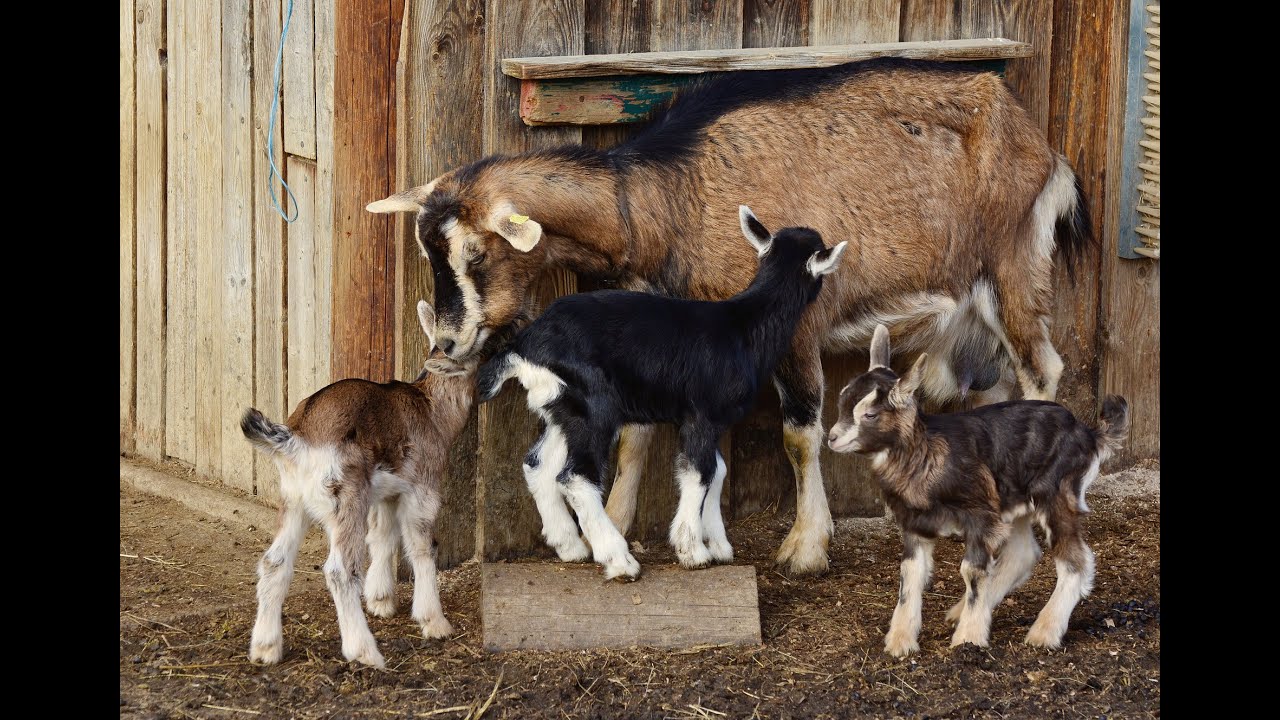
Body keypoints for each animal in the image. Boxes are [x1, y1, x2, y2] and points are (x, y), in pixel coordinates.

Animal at [241, 301, 476, 668]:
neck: (432, 409)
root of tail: (297, 438)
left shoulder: (386, 492)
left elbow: (382, 536)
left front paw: (381, 601)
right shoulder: (423, 487)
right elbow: (422, 546)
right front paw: (434, 621)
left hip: (293, 500)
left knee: (273, 561)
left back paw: (266, 648)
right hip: (345, 497)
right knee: (340, 570)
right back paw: (364, 651)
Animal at [476, 208, 846, 579]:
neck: (744, 326)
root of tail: (524, 347)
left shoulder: (706, 421)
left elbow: (718, 471)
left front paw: (718, 545)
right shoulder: (702, 415)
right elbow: (700, 472)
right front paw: (692, 551)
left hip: (562, 409)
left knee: (538, 465)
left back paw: (570, 546)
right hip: (594, 408)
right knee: (576, 477)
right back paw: (618, 559)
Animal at [826, 324, 1129, 657]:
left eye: (869, 414)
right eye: (841, 403)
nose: (832, 438)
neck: (927, 454)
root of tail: (1089, 434)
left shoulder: (980, 517)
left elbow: (971, 572)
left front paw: (968, 638)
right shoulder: (916, 523)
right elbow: (910, 574)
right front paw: (900, 641)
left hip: (1056, 493)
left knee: (1075, 561)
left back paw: (1044, 632)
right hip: (1013, 502)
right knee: (1023, 553)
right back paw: (965, 612)